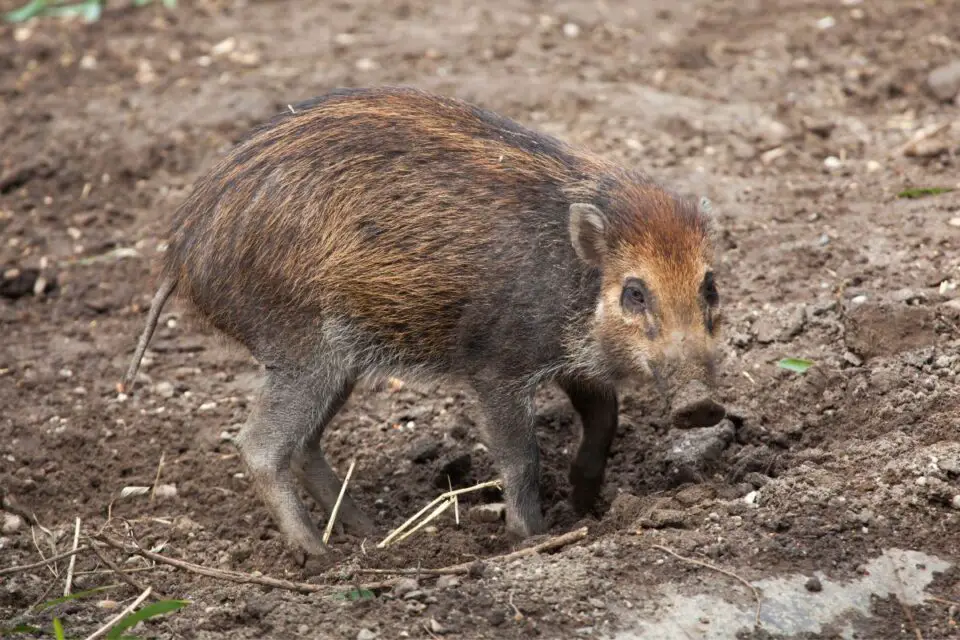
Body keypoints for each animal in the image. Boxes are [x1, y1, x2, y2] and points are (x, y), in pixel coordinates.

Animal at [122, 86, 725, 555]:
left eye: (710, 286)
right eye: (634, 292)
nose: (700, 406)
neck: (573, 275)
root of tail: (182, 253)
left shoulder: (569, 359)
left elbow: (604, 416)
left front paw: (583, 506)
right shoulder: (496, 366)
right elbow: (520, 457)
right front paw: (531, 536)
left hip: (336, 362)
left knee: (306, 445)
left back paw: (371, 532)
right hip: (301, 348)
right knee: (260, 446)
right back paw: (321, 557)